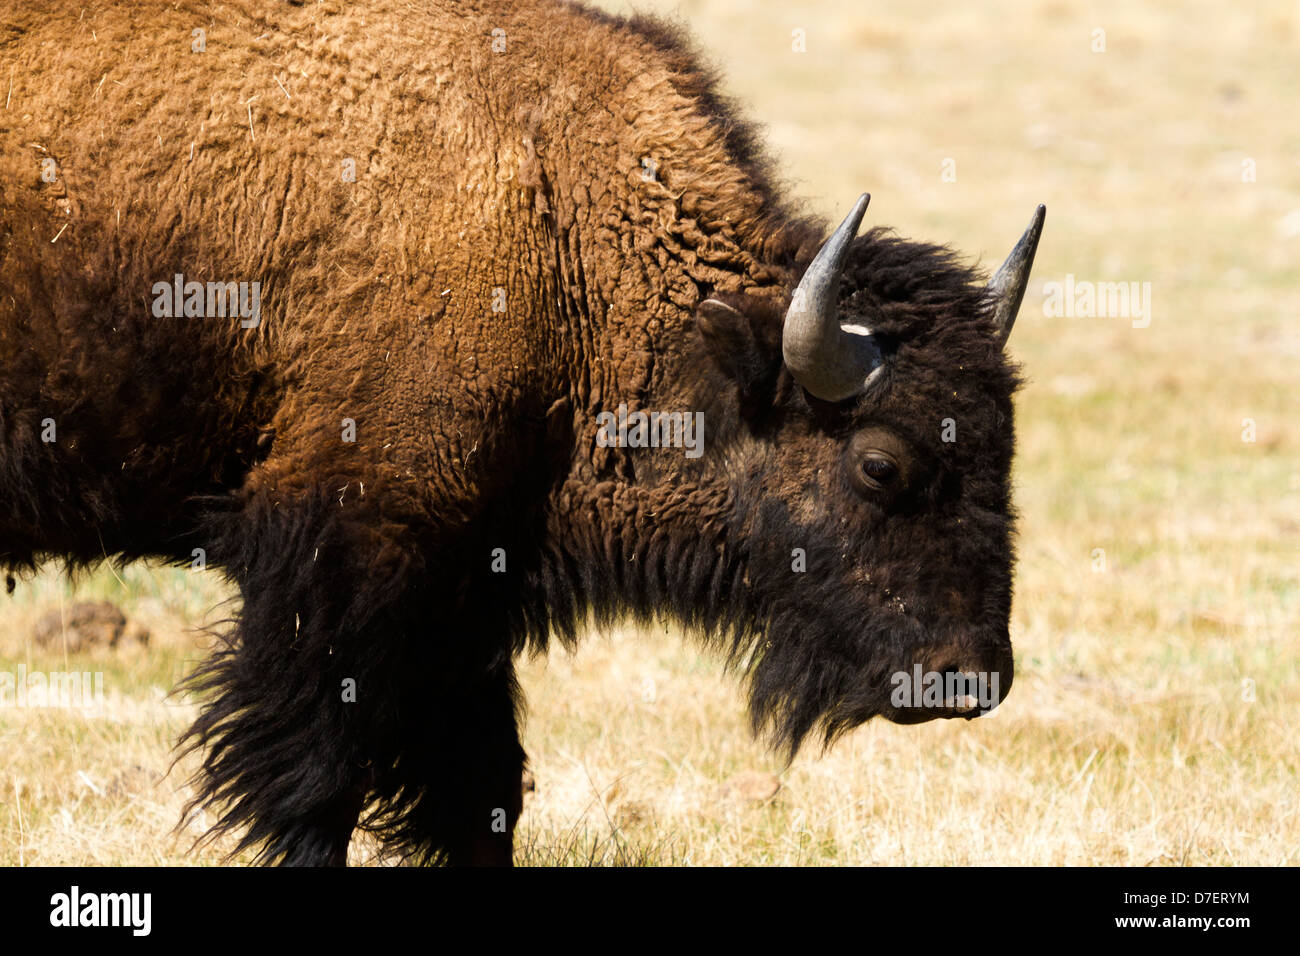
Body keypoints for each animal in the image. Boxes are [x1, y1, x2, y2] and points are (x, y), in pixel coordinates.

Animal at [0, 0, 1042, 864]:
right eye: (880, 465)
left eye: (1004, 450)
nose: (968, 680)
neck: (563, 235)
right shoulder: (343, 558)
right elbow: (315, 779)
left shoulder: (466, 590)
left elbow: (479, 787)